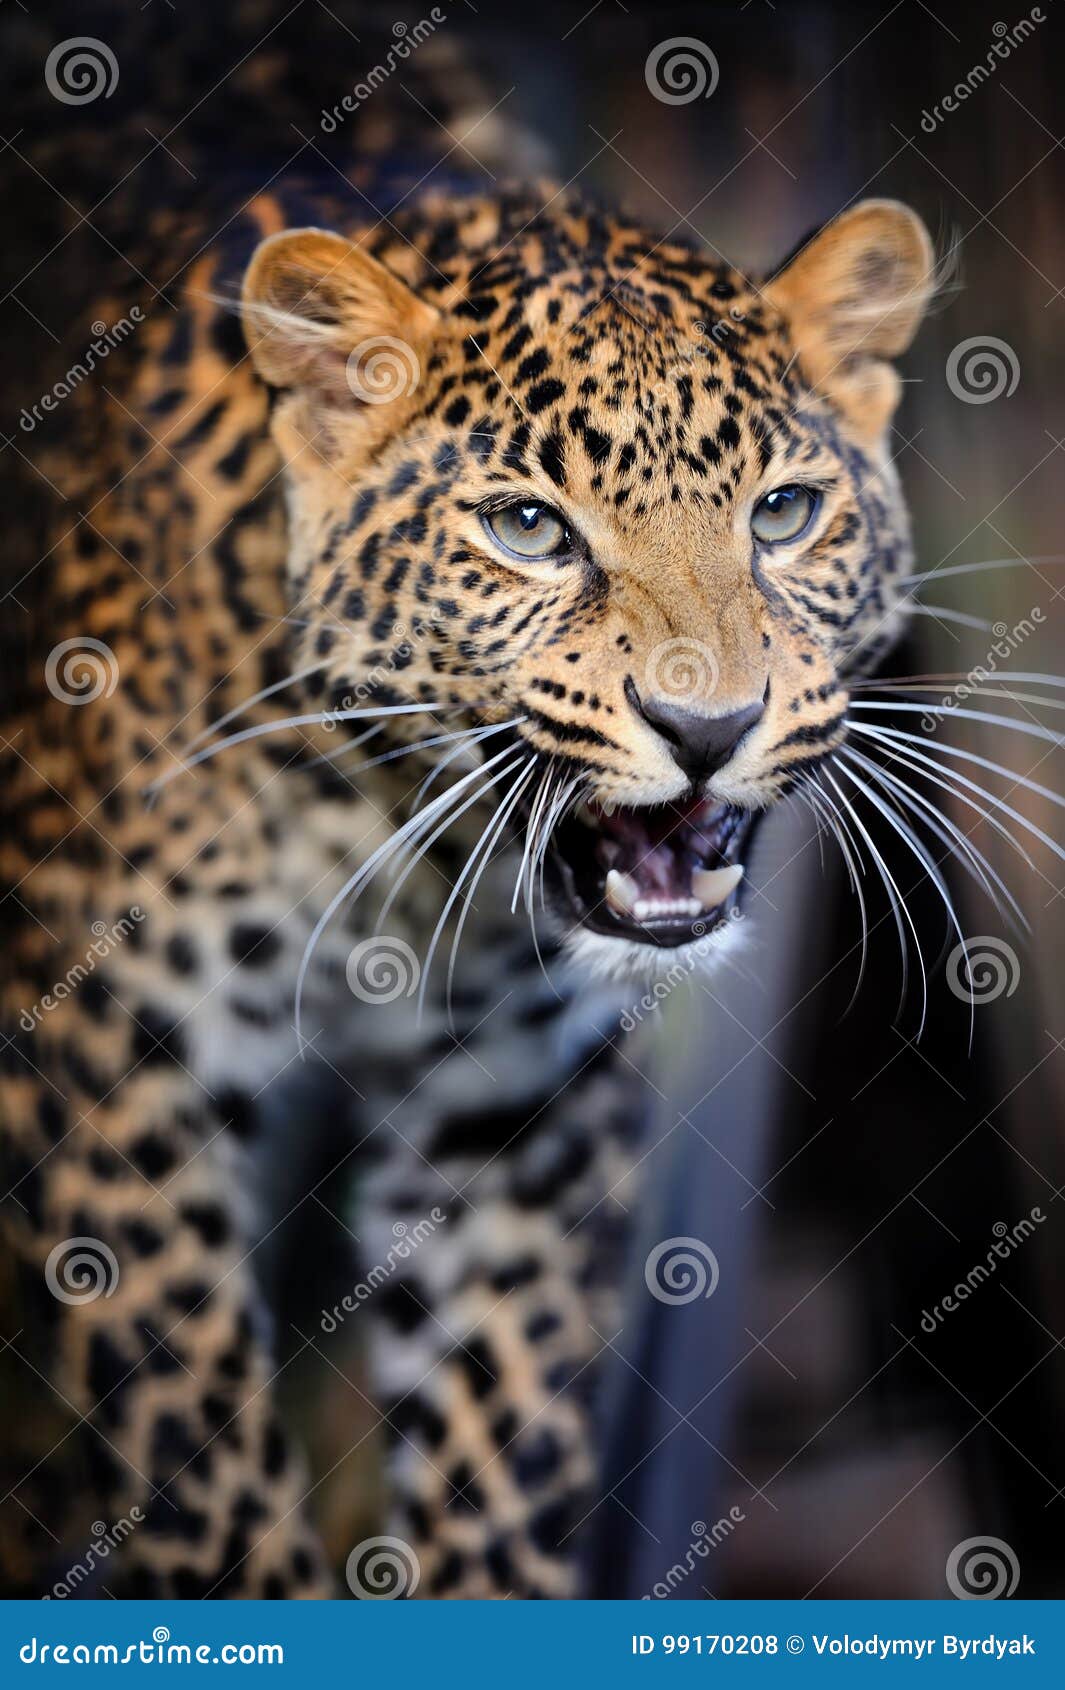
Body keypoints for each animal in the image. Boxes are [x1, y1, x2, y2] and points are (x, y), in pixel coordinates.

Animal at [0, 9, 934, 1600]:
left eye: (782, 515)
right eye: (527, 528)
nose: (707, 727)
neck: (398, 844)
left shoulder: (524, 1106)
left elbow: (503, 1456)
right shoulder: (104, 1063)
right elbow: (200, 1469)